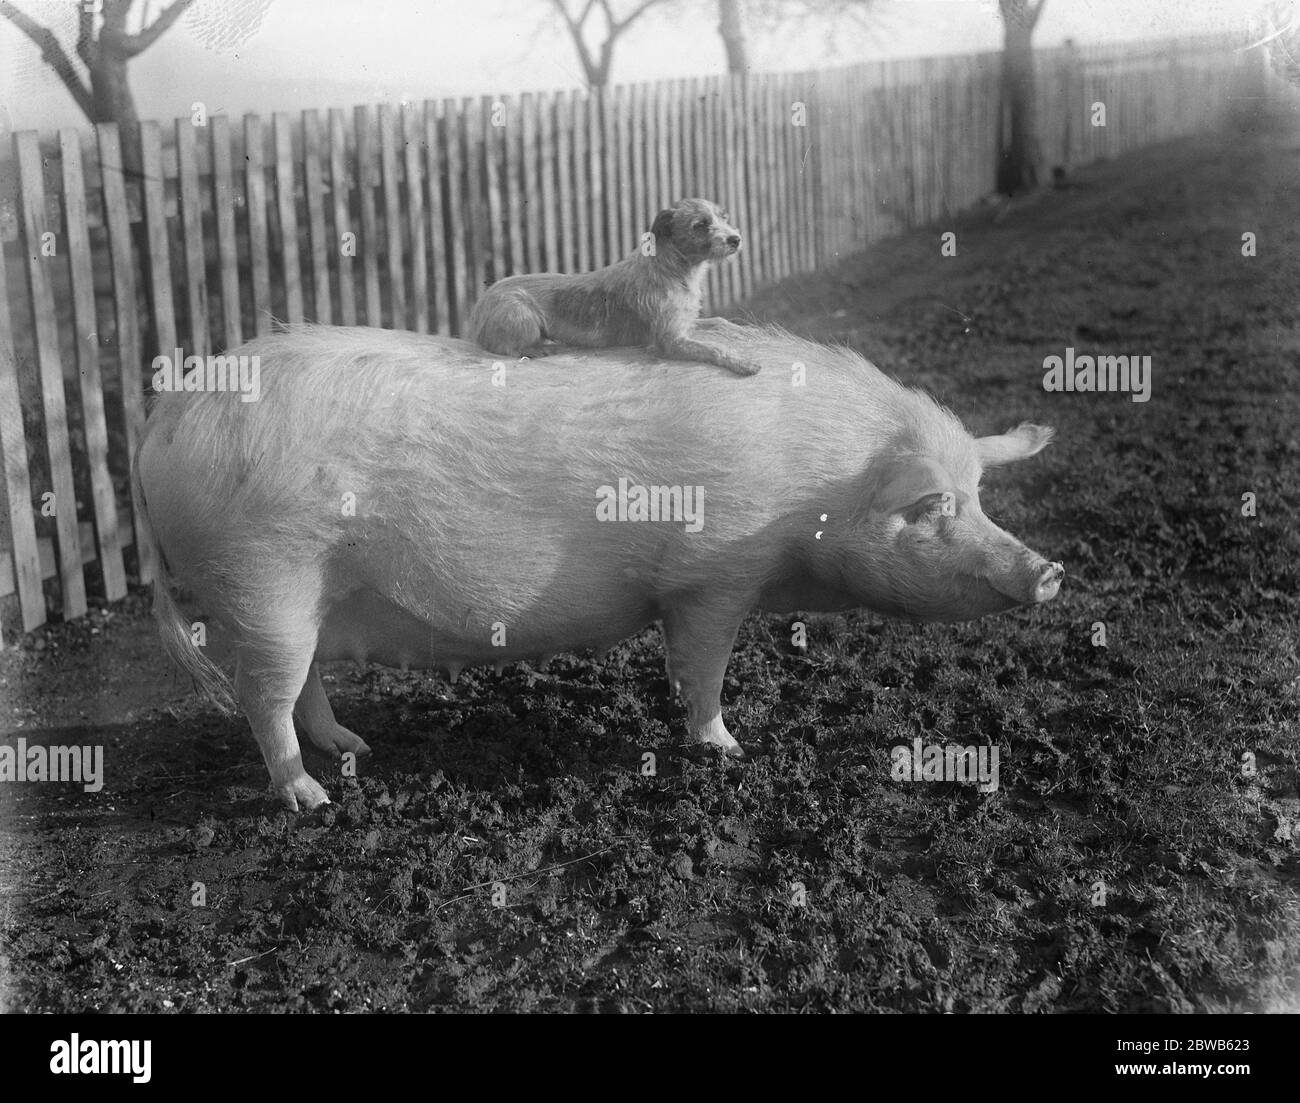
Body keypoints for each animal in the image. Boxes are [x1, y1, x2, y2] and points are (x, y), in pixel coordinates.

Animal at [134, 323, 1063, 810]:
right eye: (939, 508)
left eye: (980, 495)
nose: (1050, 571)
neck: (816, 496)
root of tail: (159, 424)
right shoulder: (712, 573)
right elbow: (703, 665)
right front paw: (727, 748)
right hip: (268, 582)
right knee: (262, 695)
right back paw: (311, 797)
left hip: (305, 597)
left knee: (307, 686)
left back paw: (354, 746)